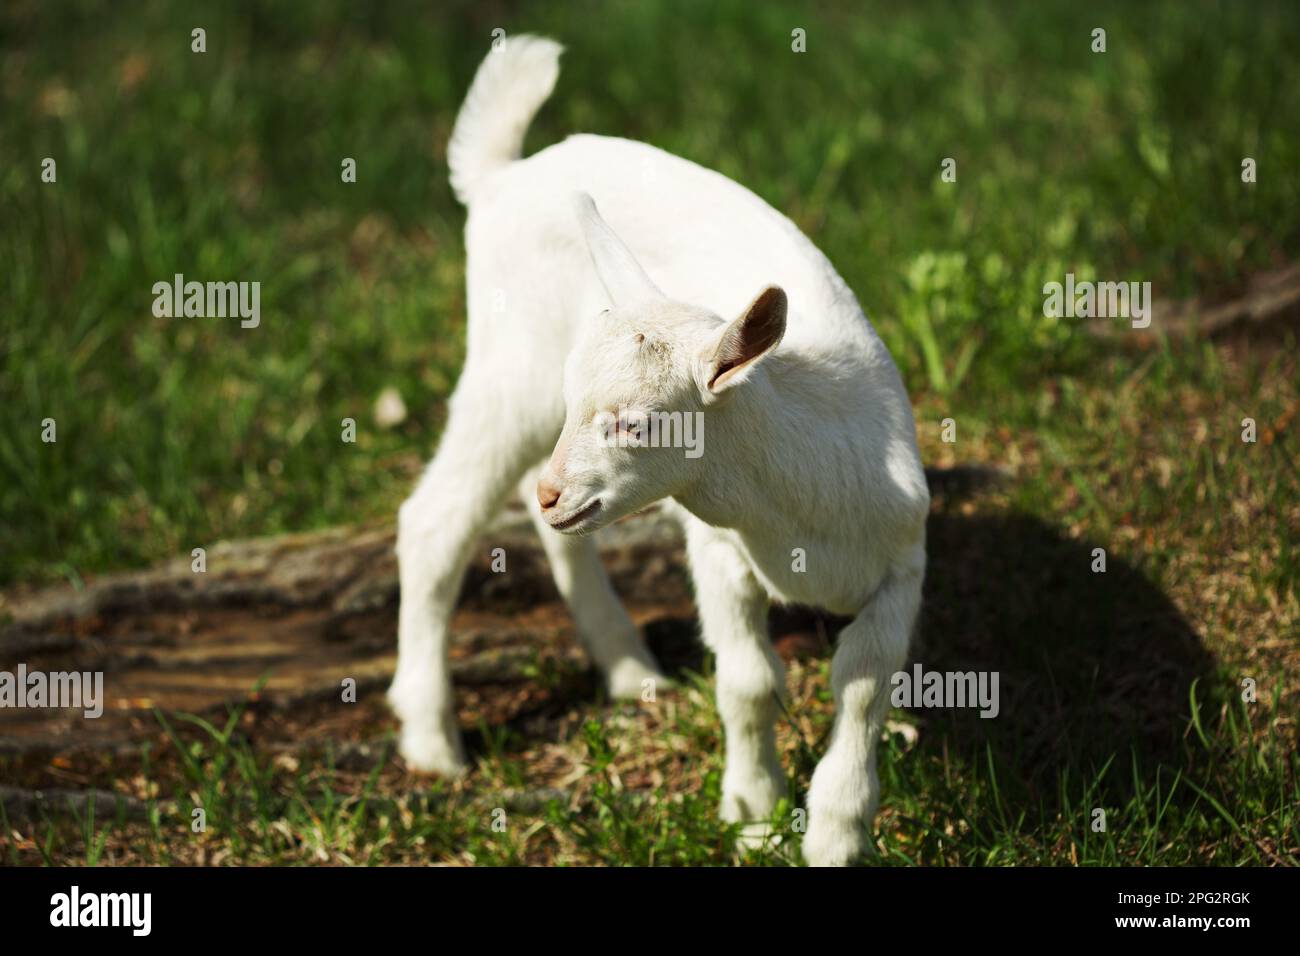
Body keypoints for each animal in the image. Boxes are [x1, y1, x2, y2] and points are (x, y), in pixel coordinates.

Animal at [388, 35, 930, 866]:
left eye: (638, 425)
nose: (556, 492)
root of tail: (500, 175)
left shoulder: (904, 559)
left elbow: (864, 685)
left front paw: (837, 835)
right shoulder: (717, 546)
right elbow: (749, 680)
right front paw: (753, 813)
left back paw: (626, 668)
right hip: (510, 365)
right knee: (435, 520)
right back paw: (431, 739)